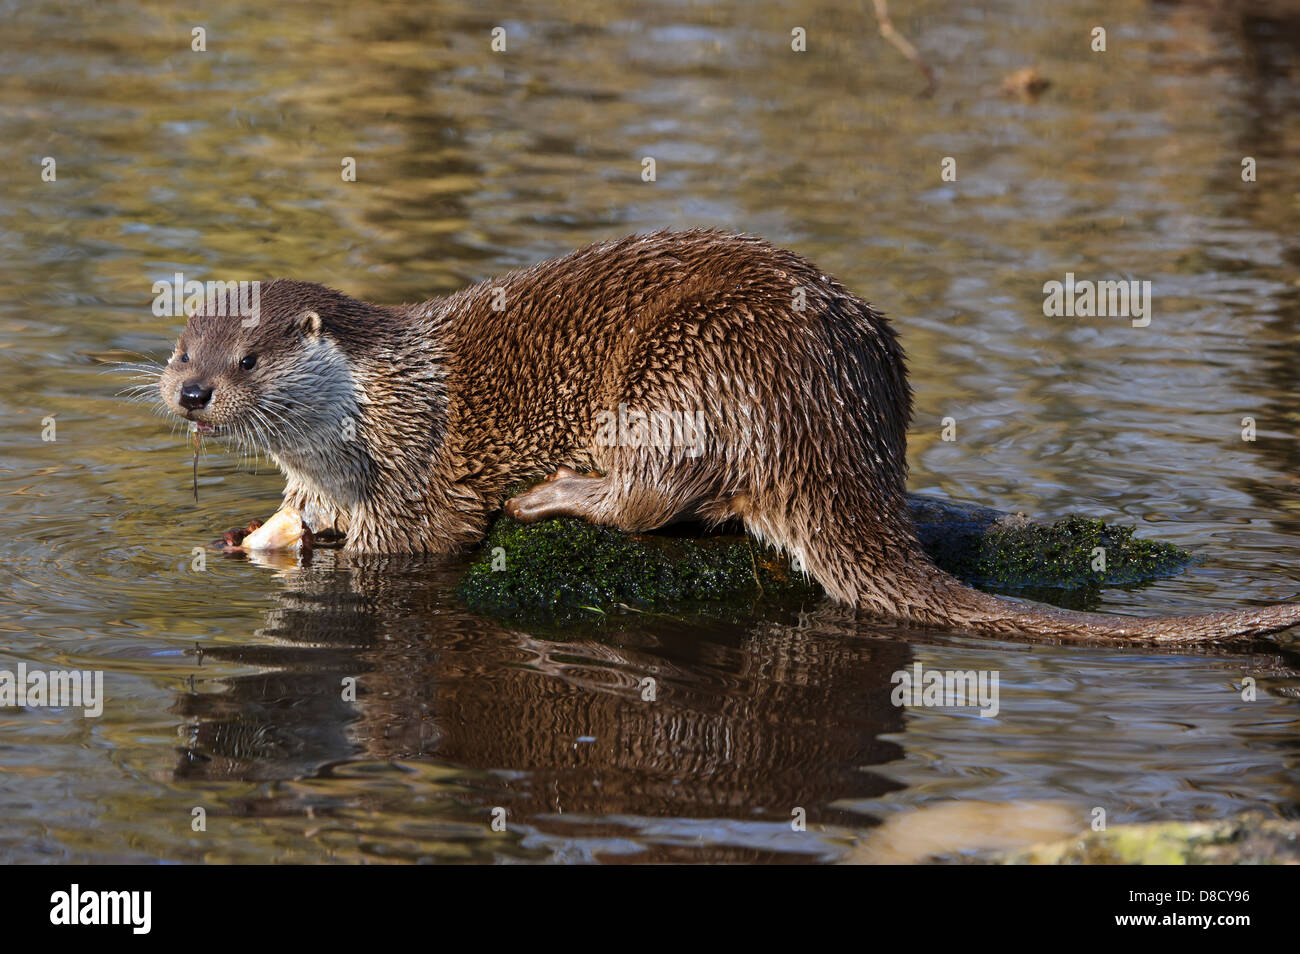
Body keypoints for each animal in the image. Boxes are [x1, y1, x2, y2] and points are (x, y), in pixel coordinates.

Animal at [156, 229, 1299, 644]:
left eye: (246, 359)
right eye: (179, 346)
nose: (194, 394)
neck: (377, 401)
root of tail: (838, 421)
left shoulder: (418, 475)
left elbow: (414, 546)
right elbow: (286, 525)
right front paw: (254, 537)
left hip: (685, 366)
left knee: (666, 496)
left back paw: (558, 493)